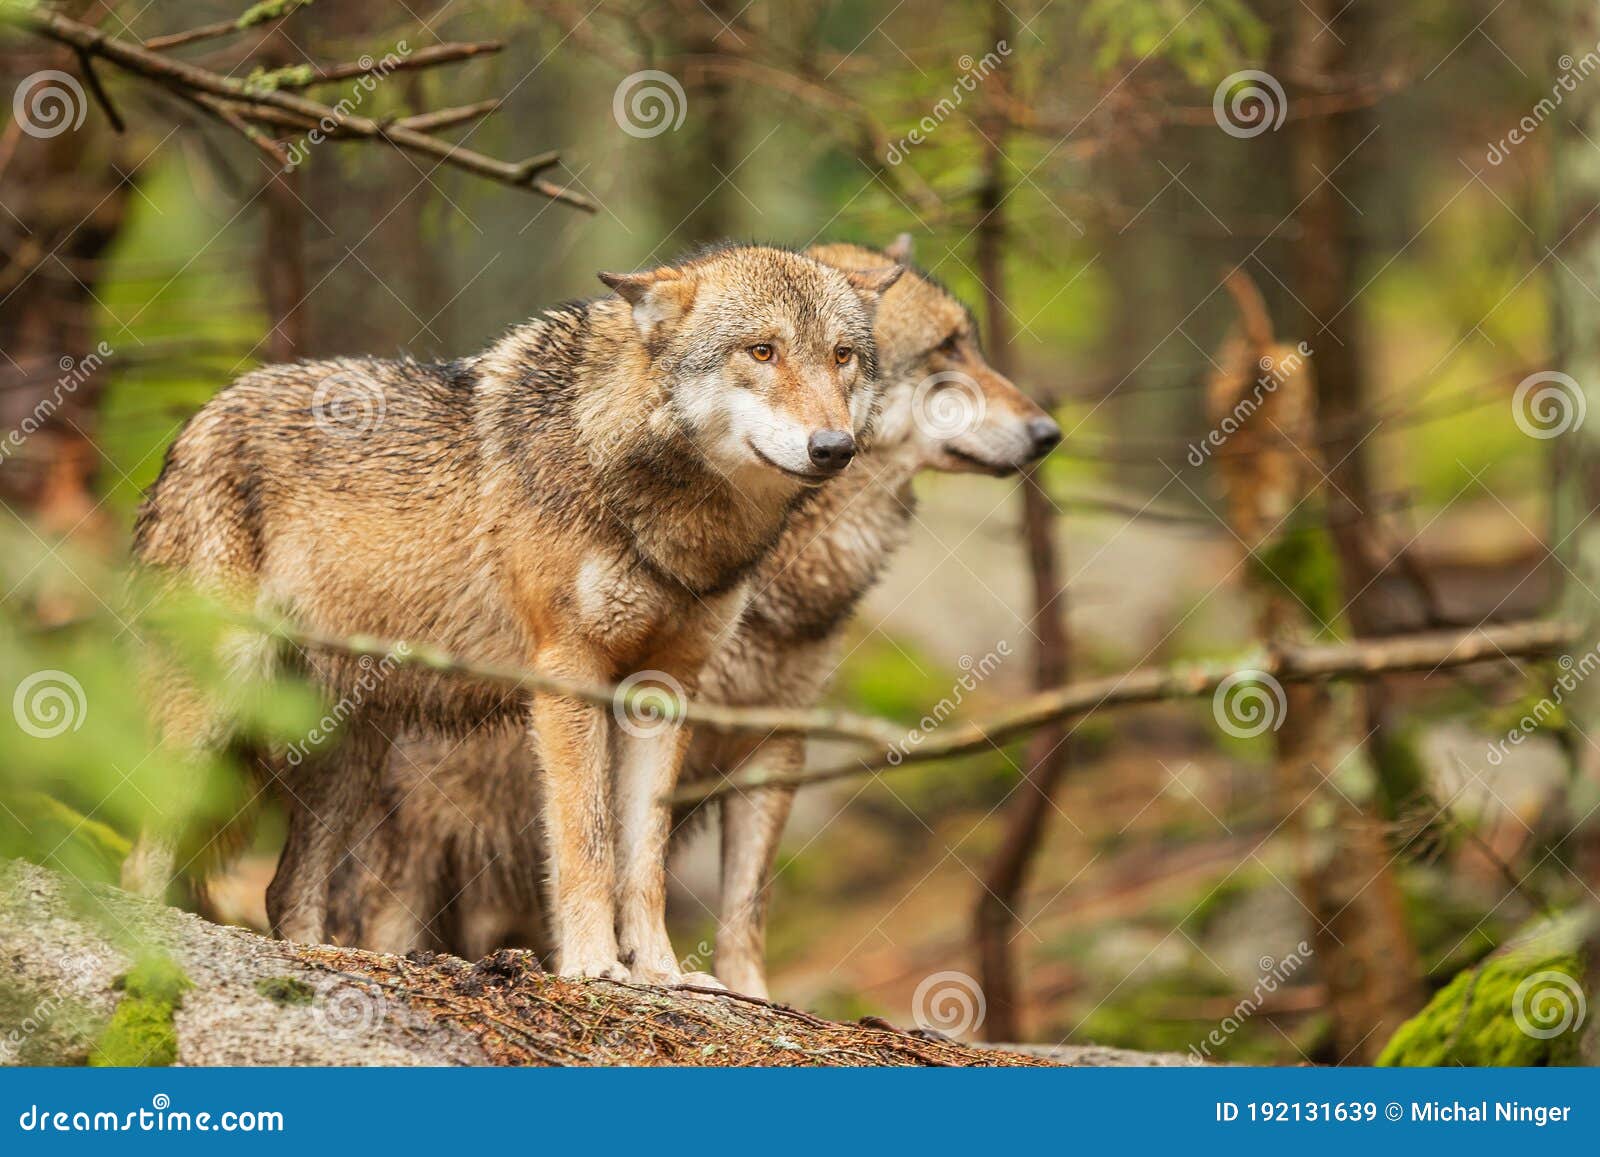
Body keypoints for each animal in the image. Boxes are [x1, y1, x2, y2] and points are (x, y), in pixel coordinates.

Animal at [132, 242, 901, 983]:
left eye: (841, 355)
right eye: (762, 351)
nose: (834, 448)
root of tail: (195, 425)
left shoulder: (666, 687)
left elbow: (643, 860)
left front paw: (661, 972)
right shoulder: (569, 672)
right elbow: (585, 840)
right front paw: (594, 965)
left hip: (345, 752)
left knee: (284, 888)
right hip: (217, 704)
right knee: (144, 852)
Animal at [325, 237, 1061, 995]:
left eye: (971, 343)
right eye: (946, 349)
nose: (1049, 433)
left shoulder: (774, 744)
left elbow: (744, 908)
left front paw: (742, 993)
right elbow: (604, 852)